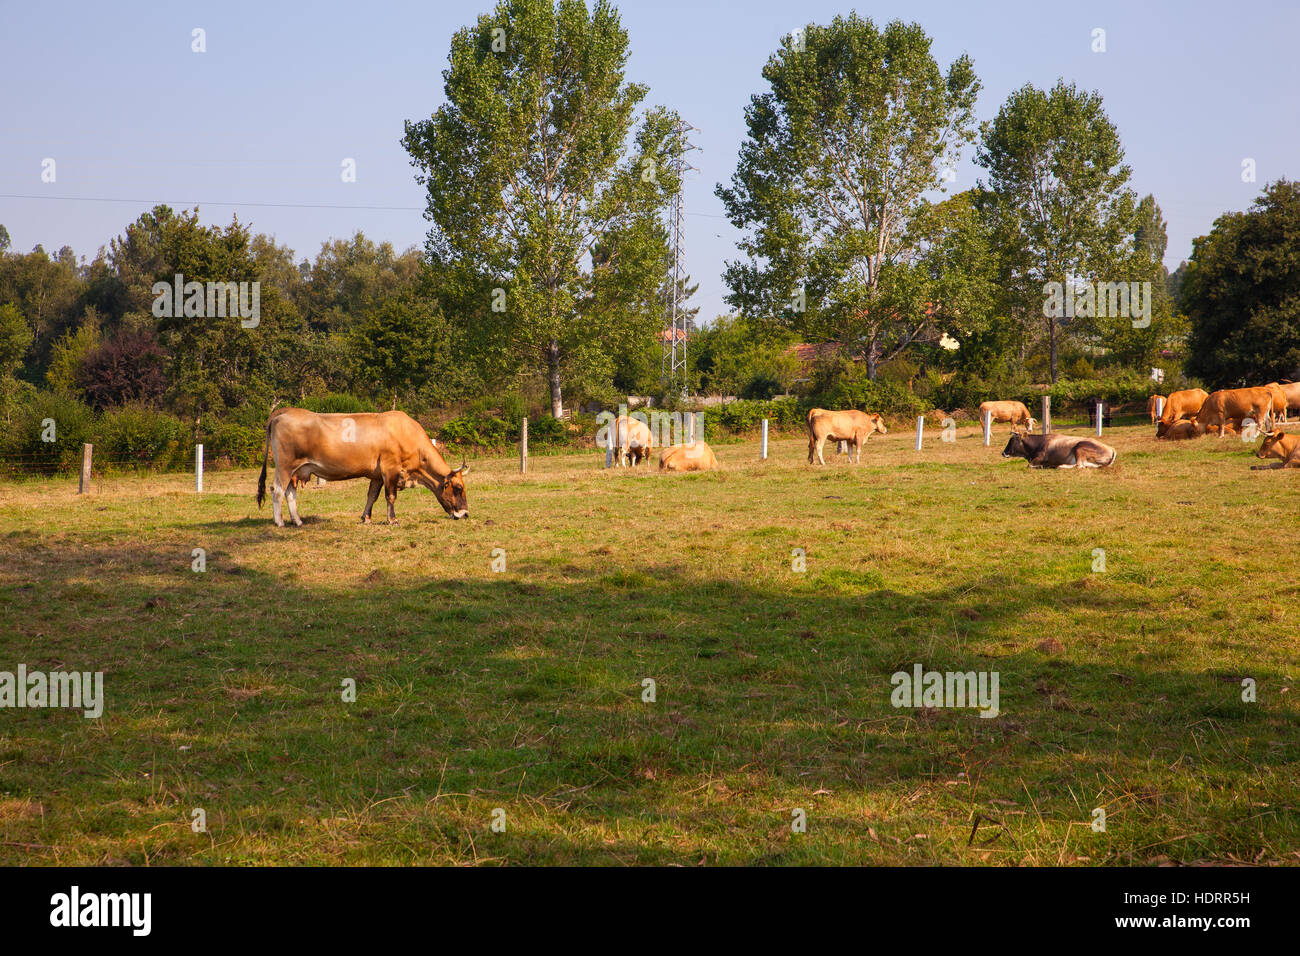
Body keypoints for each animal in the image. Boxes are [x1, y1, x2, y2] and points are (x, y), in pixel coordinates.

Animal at [256, 408, 469, 527]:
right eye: (458, 488)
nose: (465, 514)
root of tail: (285, 412)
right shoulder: (390, 469)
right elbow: (390, 496)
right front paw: (393, 520)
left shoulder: (377, 475)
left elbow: (371, 495)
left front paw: (366, 518)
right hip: (284, 466)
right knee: (277, 490)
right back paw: (280, 522)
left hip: (296, 470)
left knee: (290, 492)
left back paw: (298, 521)